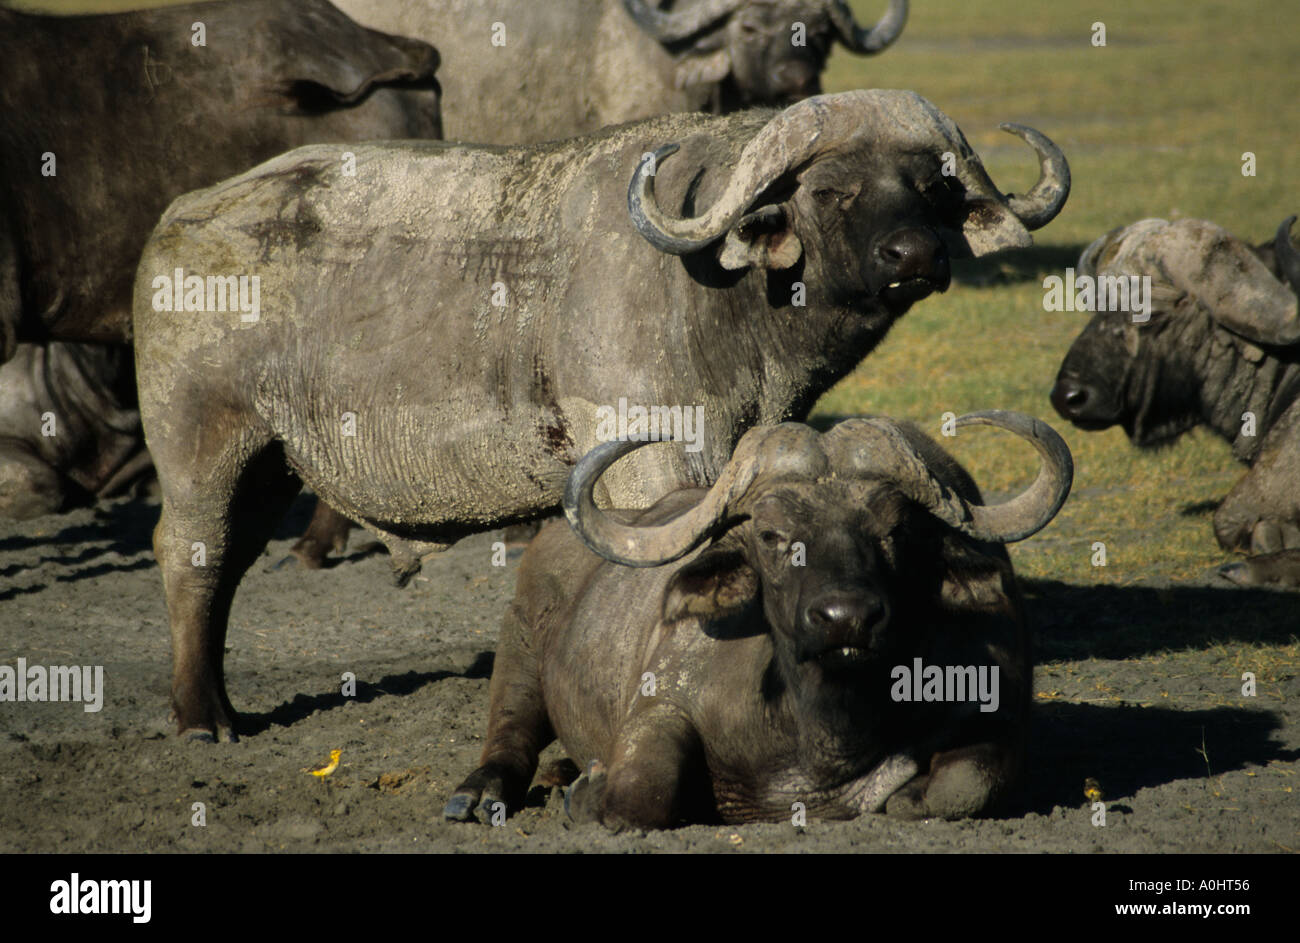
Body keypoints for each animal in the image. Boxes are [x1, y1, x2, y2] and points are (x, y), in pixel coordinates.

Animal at [133, 89, 1068, 740]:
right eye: (834, 188)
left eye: (931, 187)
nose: (915, 254)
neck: (717, 294)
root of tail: (179, 219)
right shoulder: (649, 462)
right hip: (201, 446)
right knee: (191, 556)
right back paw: (200, 717)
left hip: (269, 465)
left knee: (229, 564)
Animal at [444, 410, 1073, 827]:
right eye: (771, 535)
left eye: (896, 530)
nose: (845, 618)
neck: (825, 724)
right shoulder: (661, 706)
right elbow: (638, 799)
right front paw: (589, 792)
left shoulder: (998, 709)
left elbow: (965, 785)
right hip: (519, 646)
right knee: (508, 736)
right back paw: (478, 795)